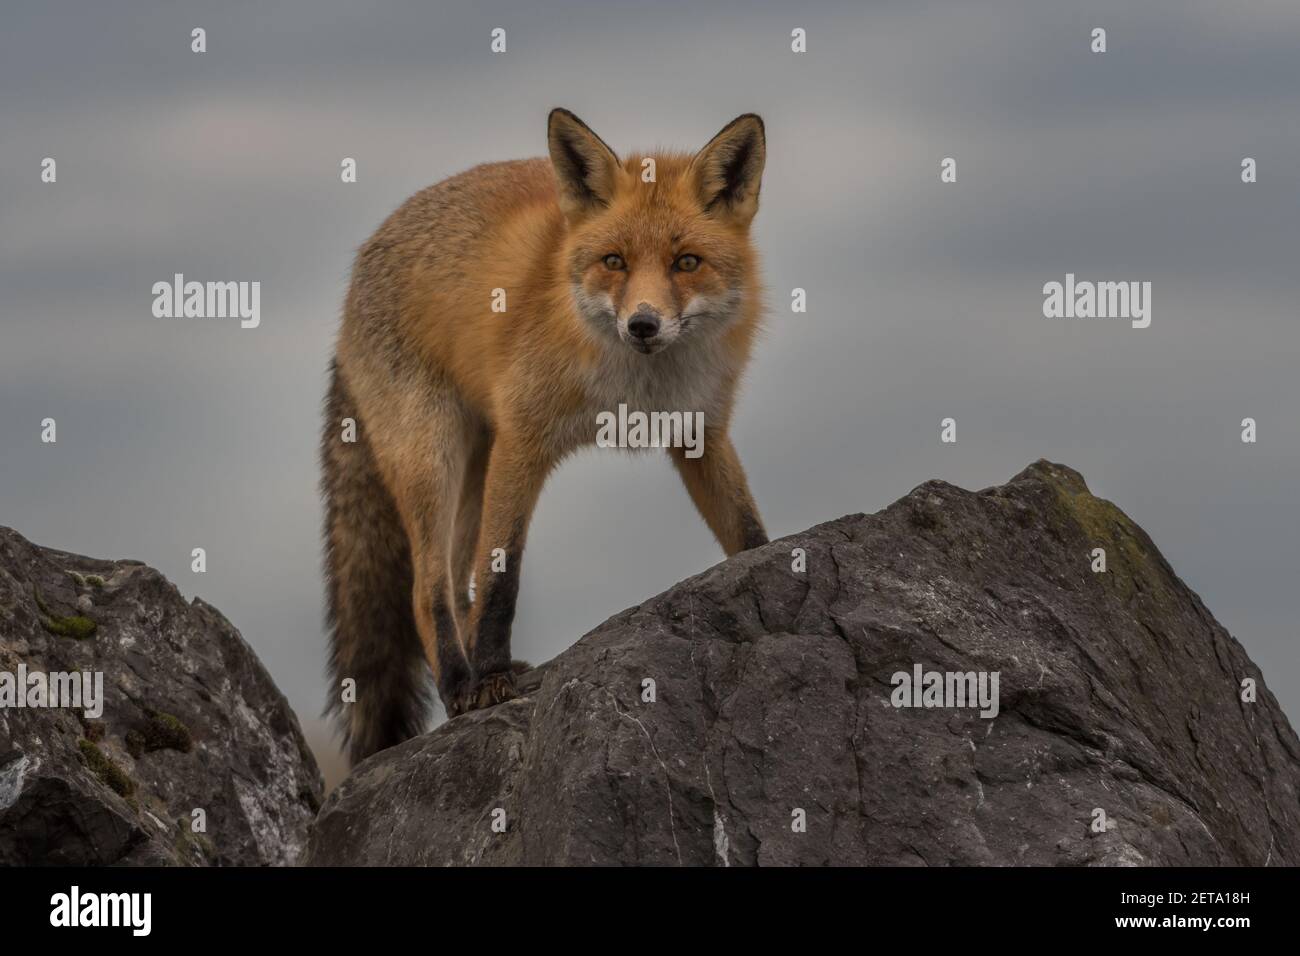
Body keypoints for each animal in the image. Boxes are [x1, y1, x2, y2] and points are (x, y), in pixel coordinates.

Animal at [322, 108, 770, 765]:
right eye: (614, 261)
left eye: (686, 263)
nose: (642, 324)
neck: (633, 387)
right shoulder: (522, 438)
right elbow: (502, 579)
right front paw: (490, 681)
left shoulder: (700, 431)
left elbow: (747, 531)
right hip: (433, 455)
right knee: (425, 590)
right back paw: (460, 683)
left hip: (472, 467)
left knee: (455, 582)